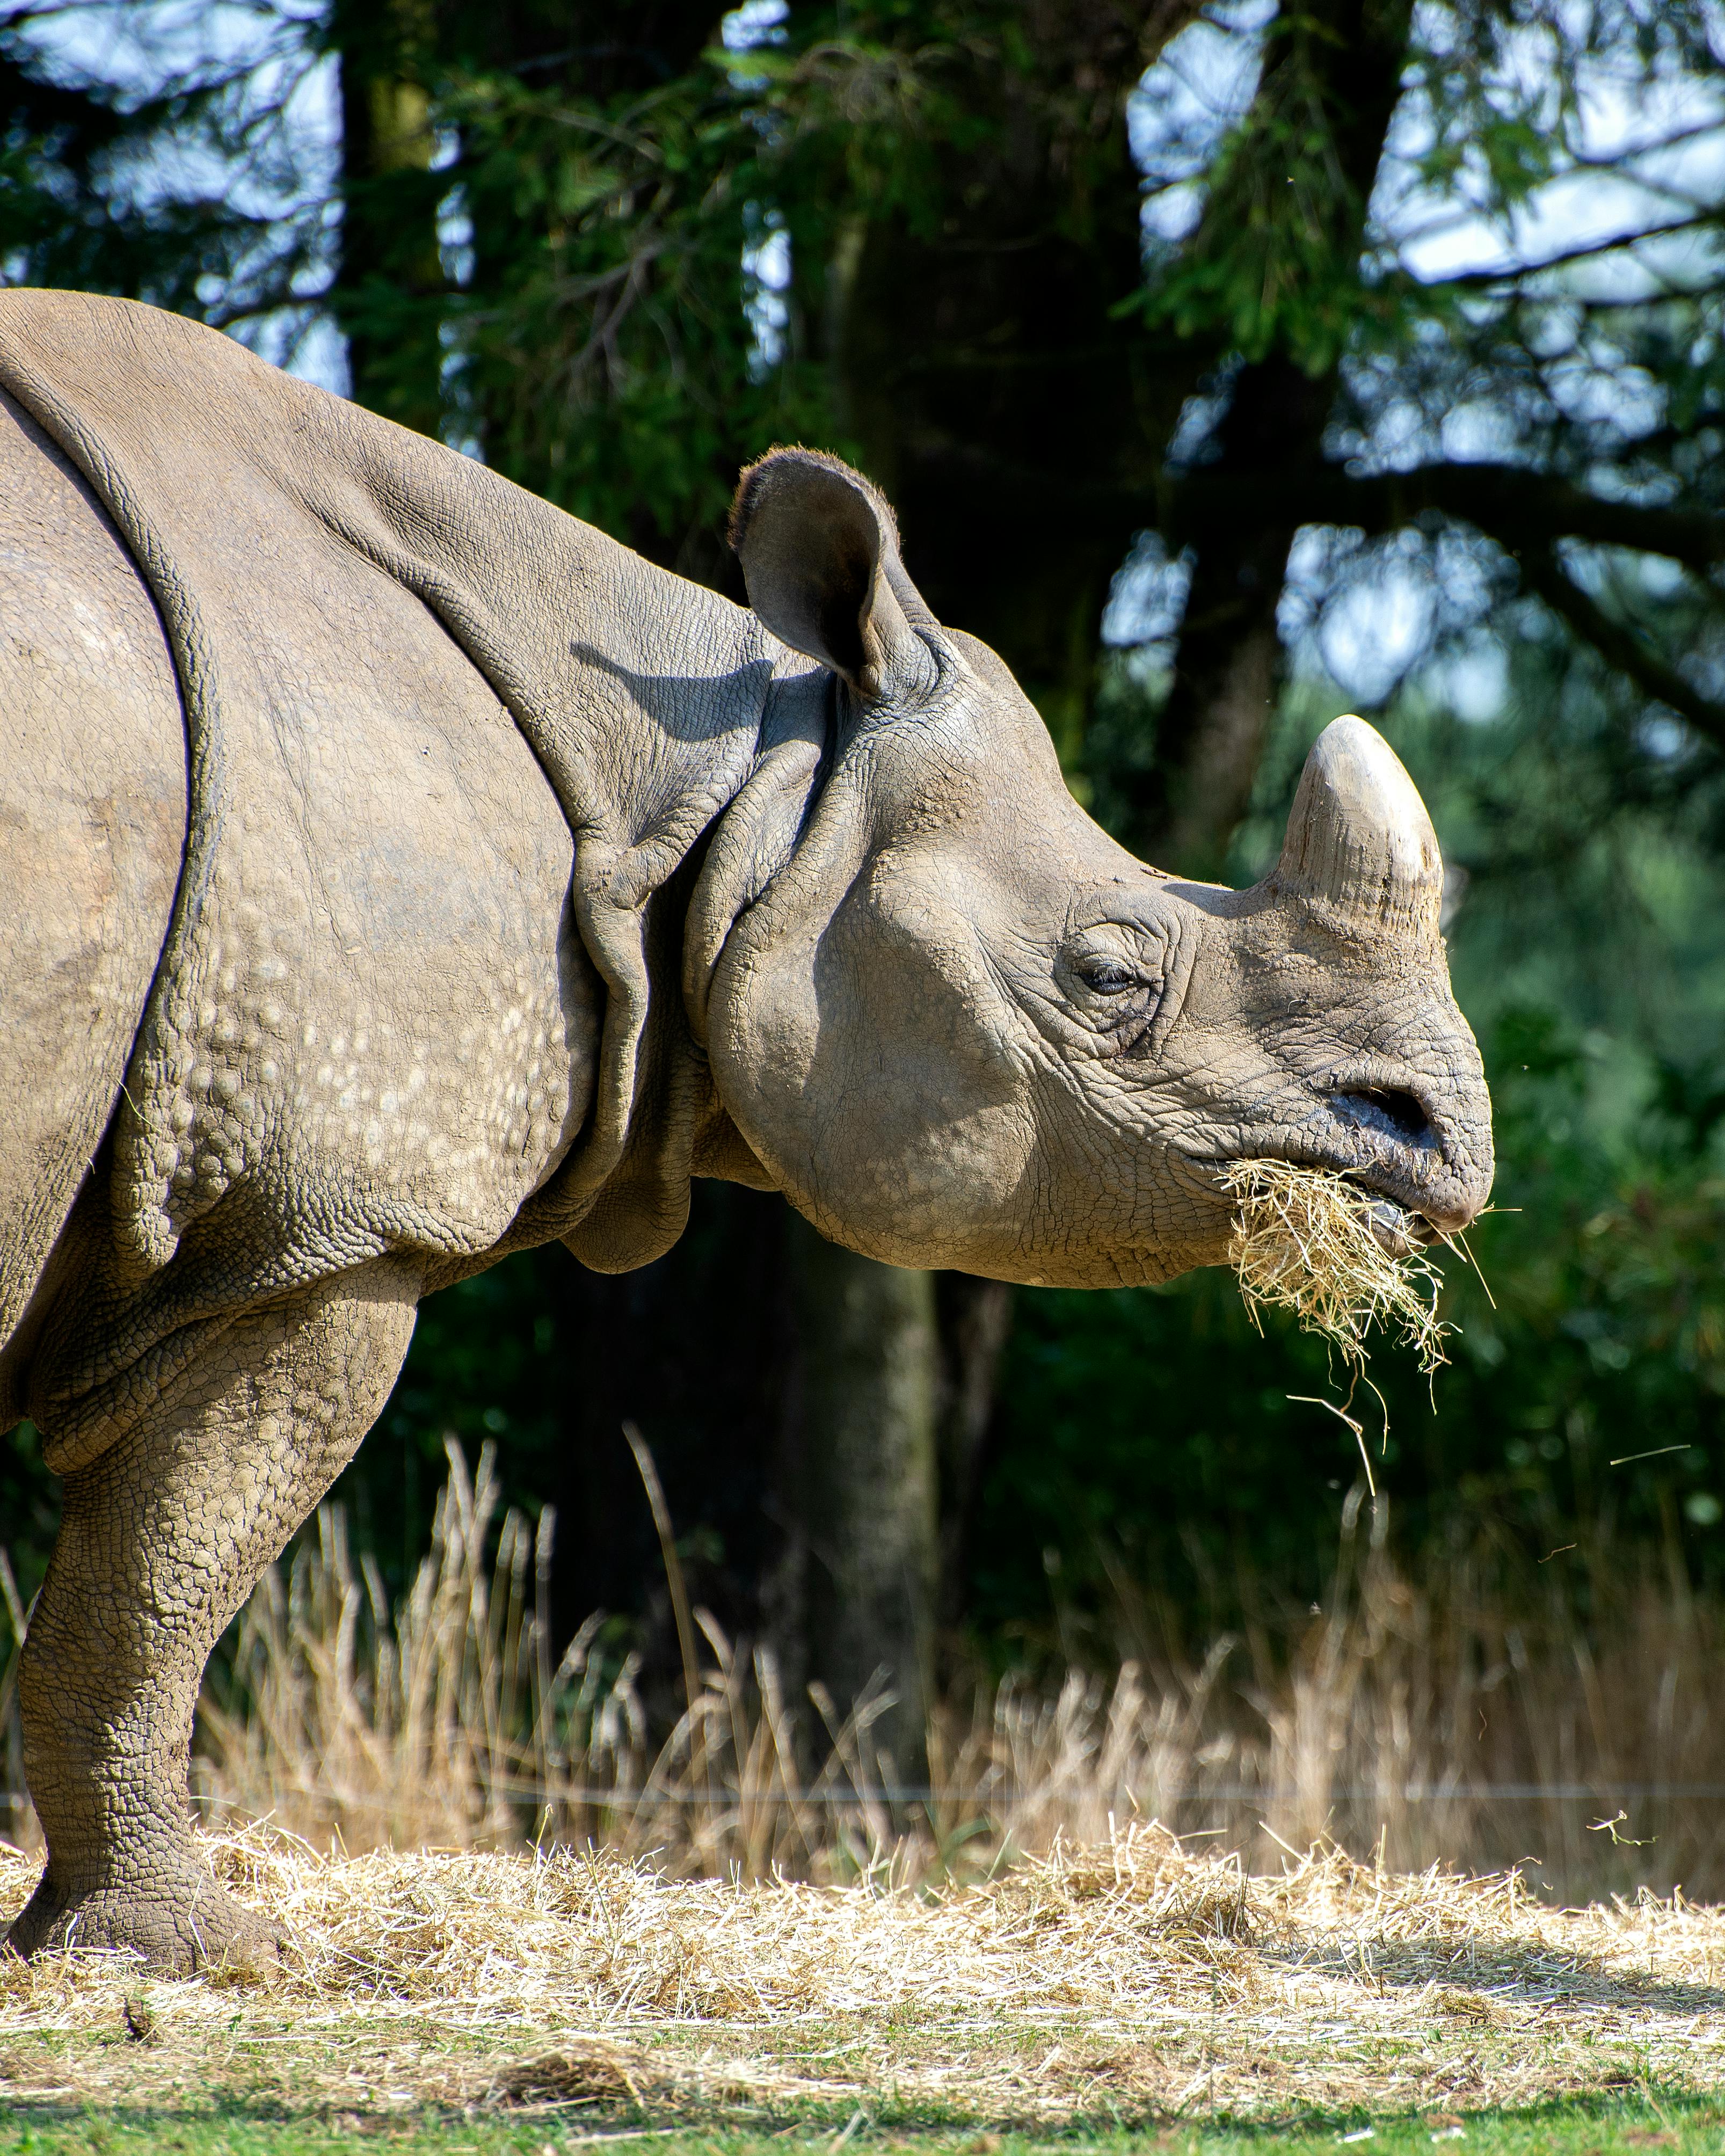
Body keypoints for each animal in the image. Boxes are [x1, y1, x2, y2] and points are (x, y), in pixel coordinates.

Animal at [0, 292, 1492, 1970]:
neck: (720, 786)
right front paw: (181, 1956)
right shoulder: (318, 1217)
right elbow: (150, 1593)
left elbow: (126, 1586)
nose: (1436, 1147)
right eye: (1106, 978)